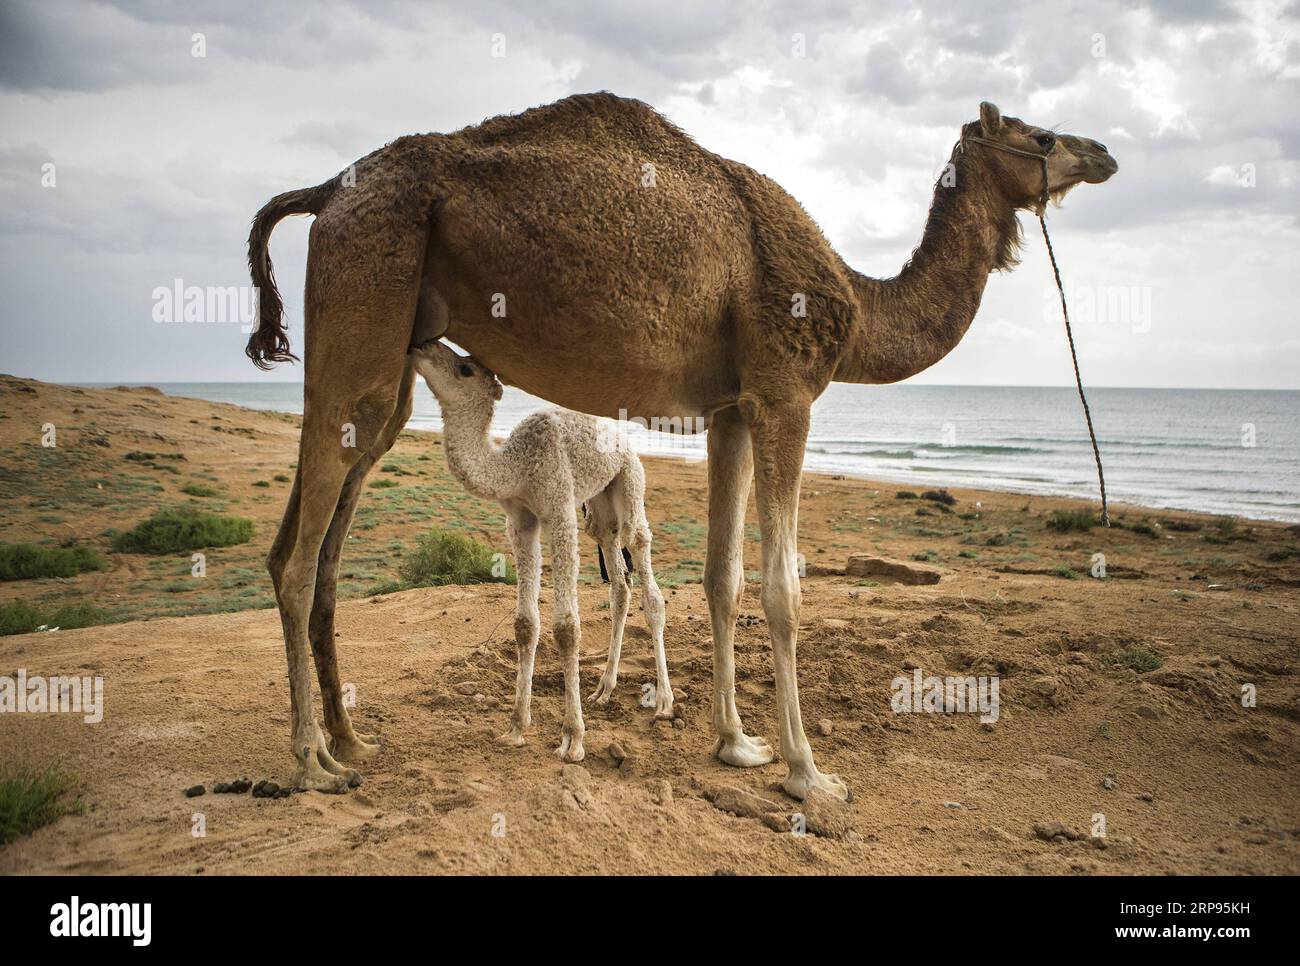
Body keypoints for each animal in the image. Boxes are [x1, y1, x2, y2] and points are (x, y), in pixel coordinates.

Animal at [408, 338, 673, 763]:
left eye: (465, 368)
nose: (422, 345)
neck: (516, 467)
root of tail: (622, 437)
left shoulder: (558, 510)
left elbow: (566, 627)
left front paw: (573, 738)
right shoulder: (521, 521)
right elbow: (525, 624)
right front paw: (516, 727)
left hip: (630, 477)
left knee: (642, 555)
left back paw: (664, 701)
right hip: (599, 506)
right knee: (618, 579)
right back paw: (604, 689)